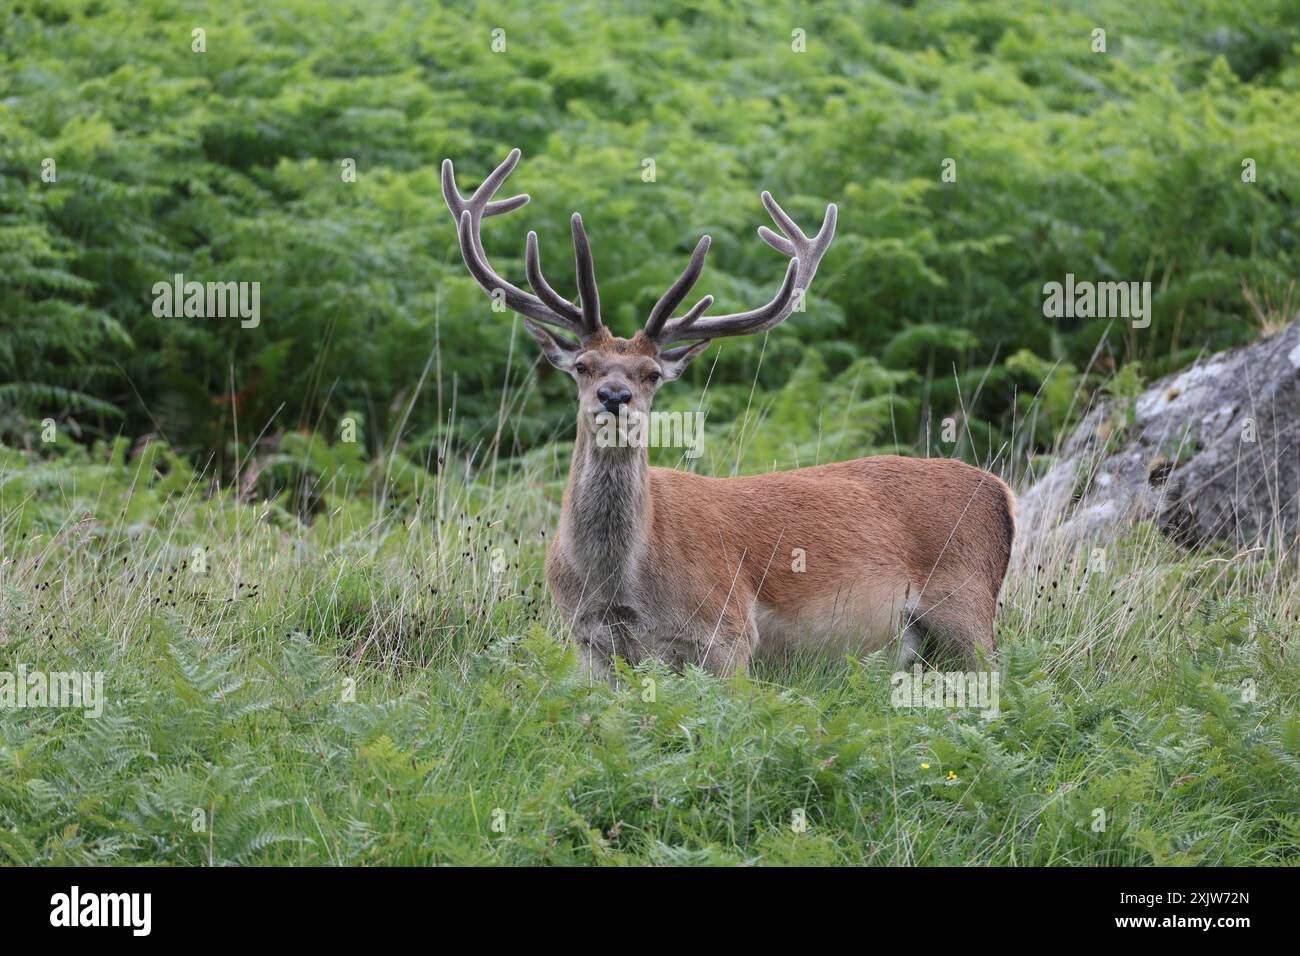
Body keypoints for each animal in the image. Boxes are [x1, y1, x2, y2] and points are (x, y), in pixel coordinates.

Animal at [442, 149, 1015, 677]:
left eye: (651, 373)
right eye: (583, 365)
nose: (614, 396)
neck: (619, 585)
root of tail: (1000, 491)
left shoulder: (729, 631)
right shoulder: (588, 643)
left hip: (966, 608)